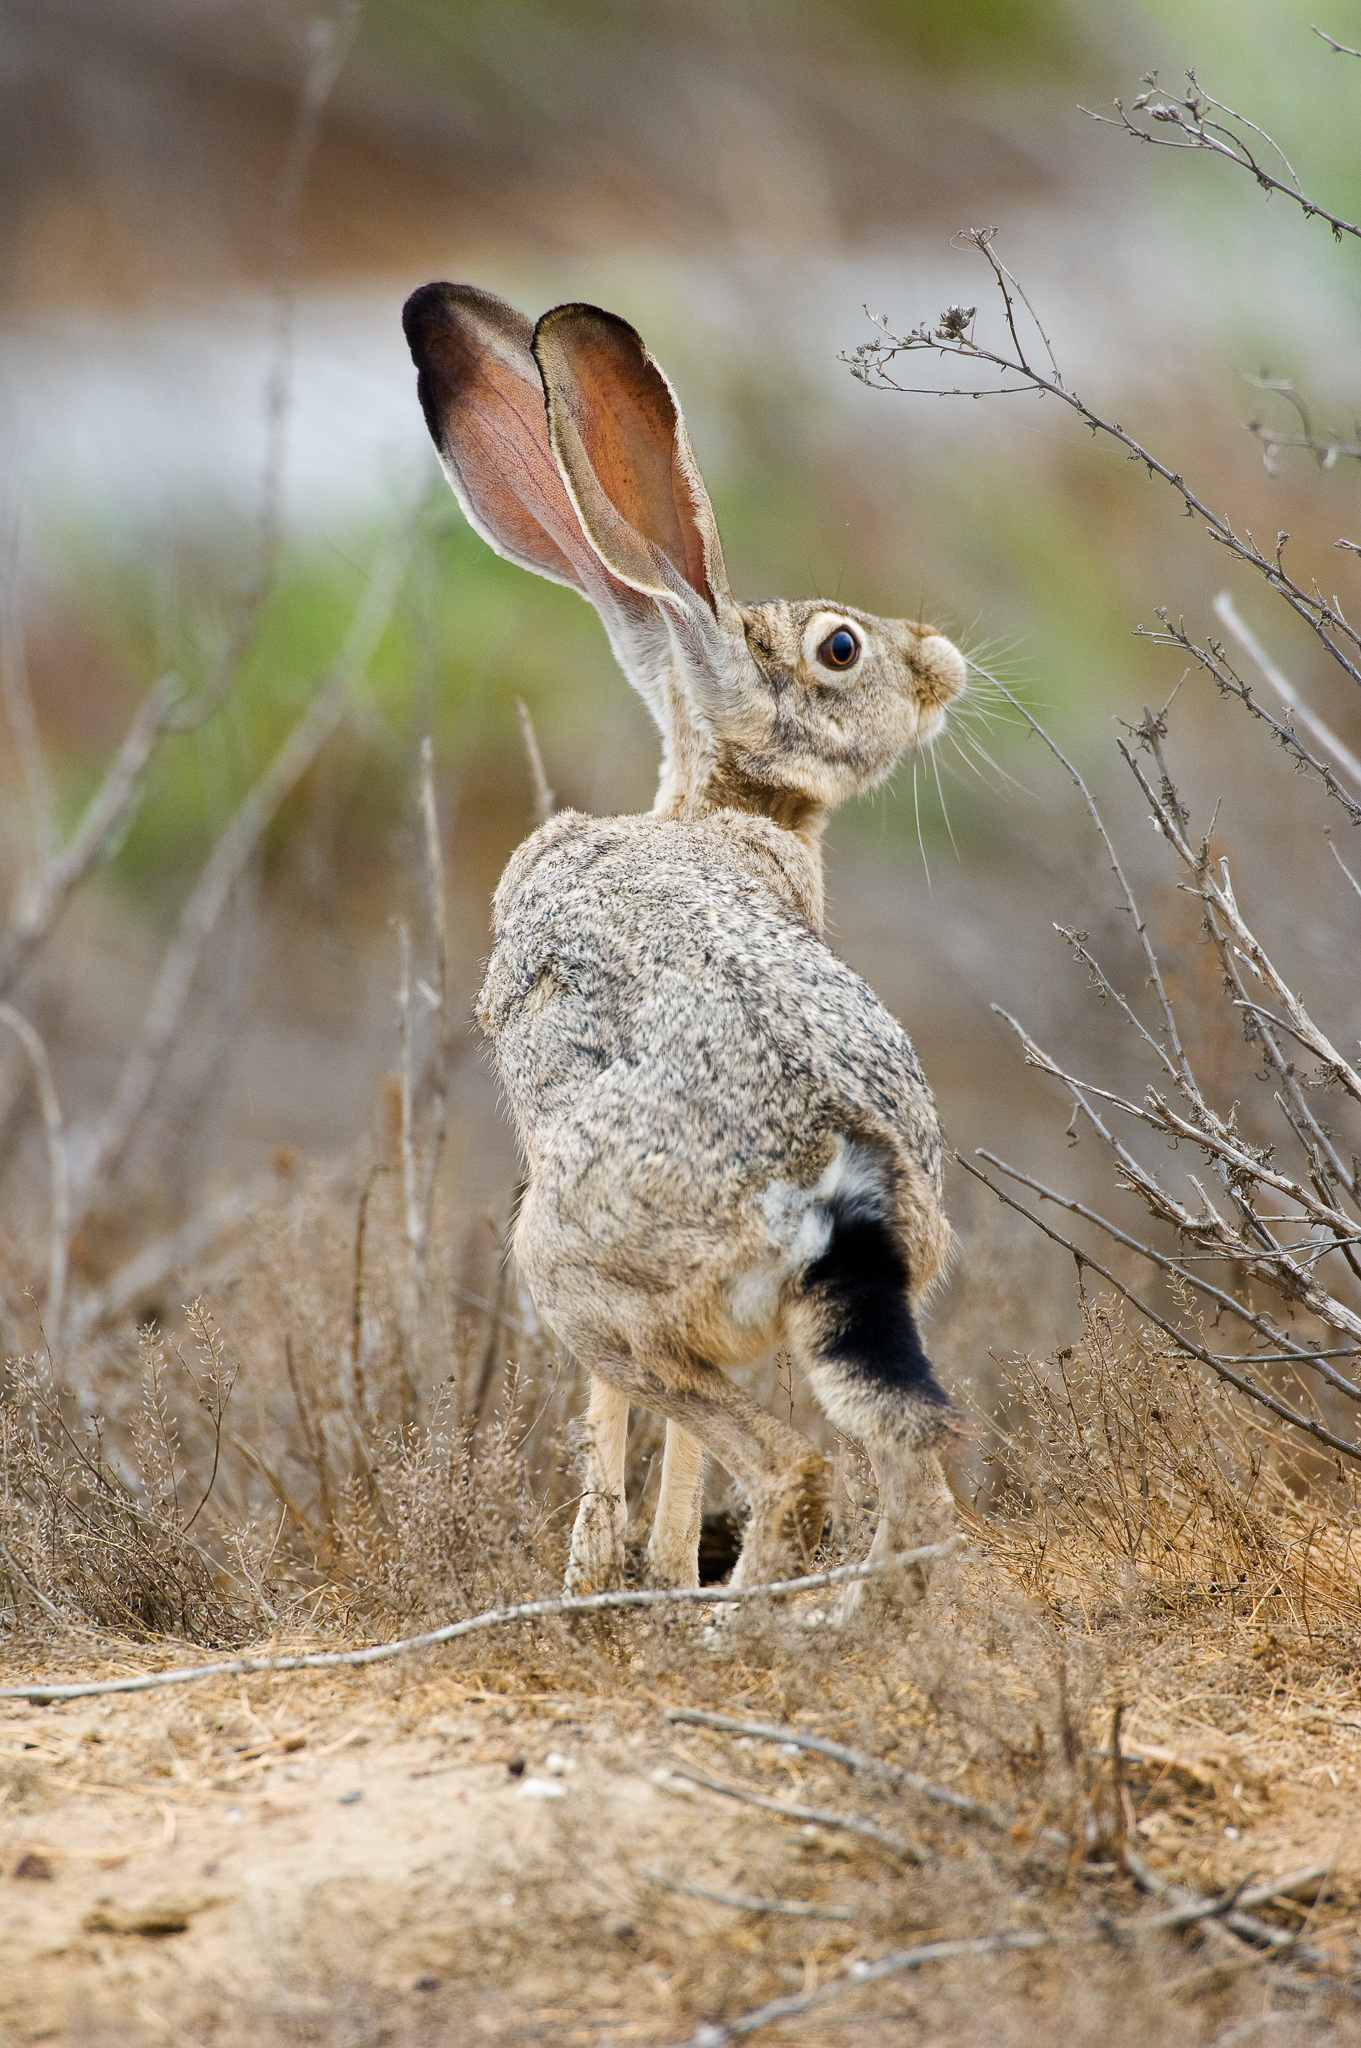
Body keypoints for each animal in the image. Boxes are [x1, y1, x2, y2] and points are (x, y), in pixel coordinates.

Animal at [402, 282, 966, 1612]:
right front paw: (640, 1562)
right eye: (840, 648)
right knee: (902, 1465)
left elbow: (616, 1425)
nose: (941, 665)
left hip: (570, 1275)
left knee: (792, 1465)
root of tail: (831, 1179)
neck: (713, 808)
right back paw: (858, 1615)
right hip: (856, 1299)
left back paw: (729, 1623)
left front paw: (610, 1567)